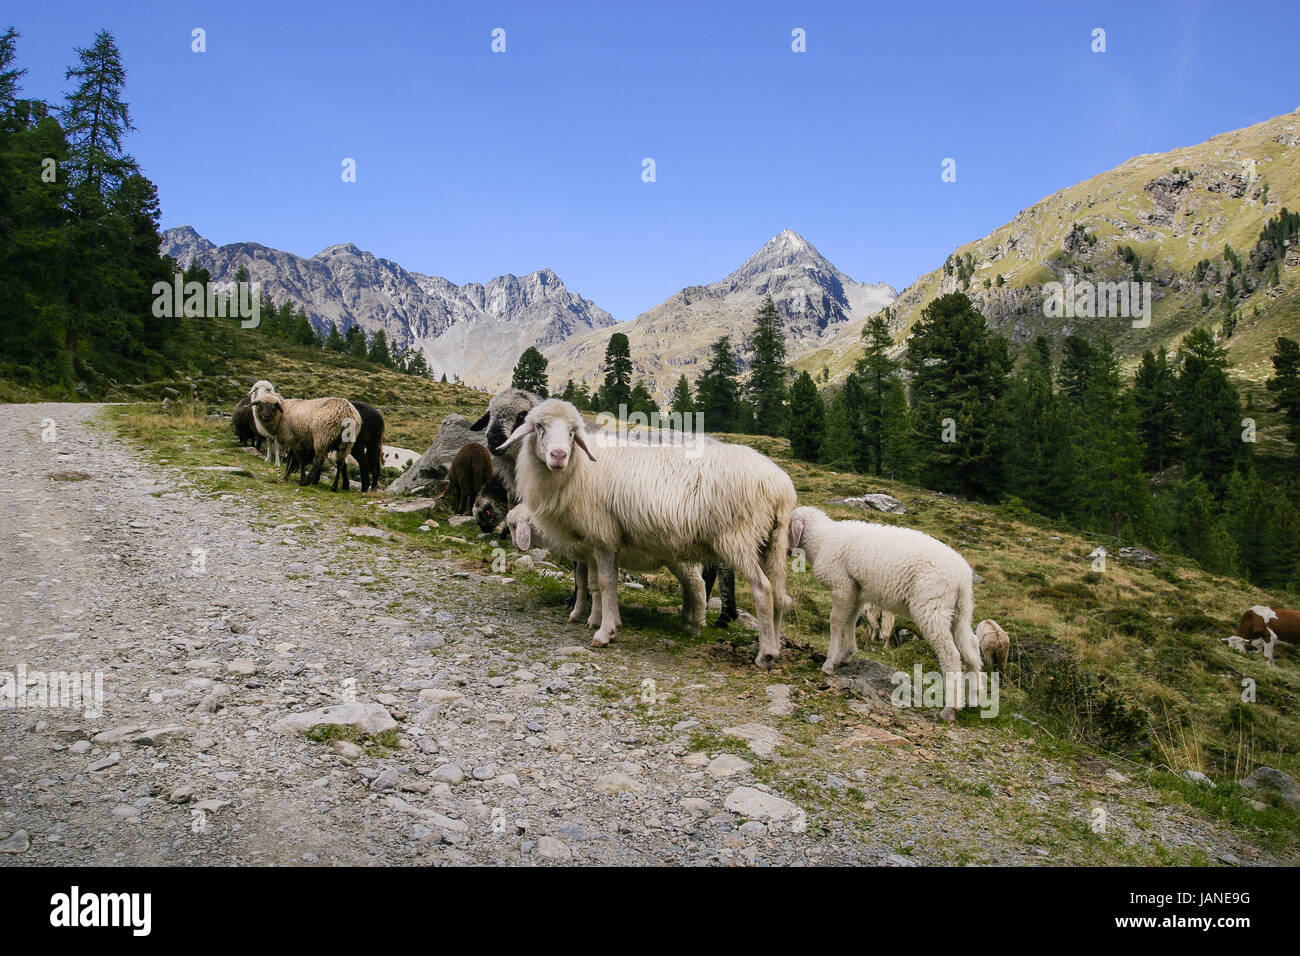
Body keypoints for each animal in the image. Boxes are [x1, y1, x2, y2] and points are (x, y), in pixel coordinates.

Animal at [498, 398, 794, 659]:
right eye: (539, 426)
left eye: (573, 432)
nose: (559, 455)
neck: (579, 467)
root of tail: (779, 485)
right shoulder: (602, 542)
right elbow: (601, 584)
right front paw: (606, 622)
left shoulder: (602, 537)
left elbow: (604, 584)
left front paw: (604, 632)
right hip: (772, 541)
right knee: (780, 594)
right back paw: (771, 644)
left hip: (738, 539)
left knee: (762, 590)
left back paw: (764, 653)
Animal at [788, 505, 981, 720]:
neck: (822, 539)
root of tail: (962, 578)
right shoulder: (856, 592)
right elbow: (850, 621)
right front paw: (846, 654)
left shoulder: (842, 587)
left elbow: (836, 623)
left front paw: (829, 663)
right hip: (960, 611)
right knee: (971, 647)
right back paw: (975, 698)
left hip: (932, 607)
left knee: (951, 655)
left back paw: (950, 709)